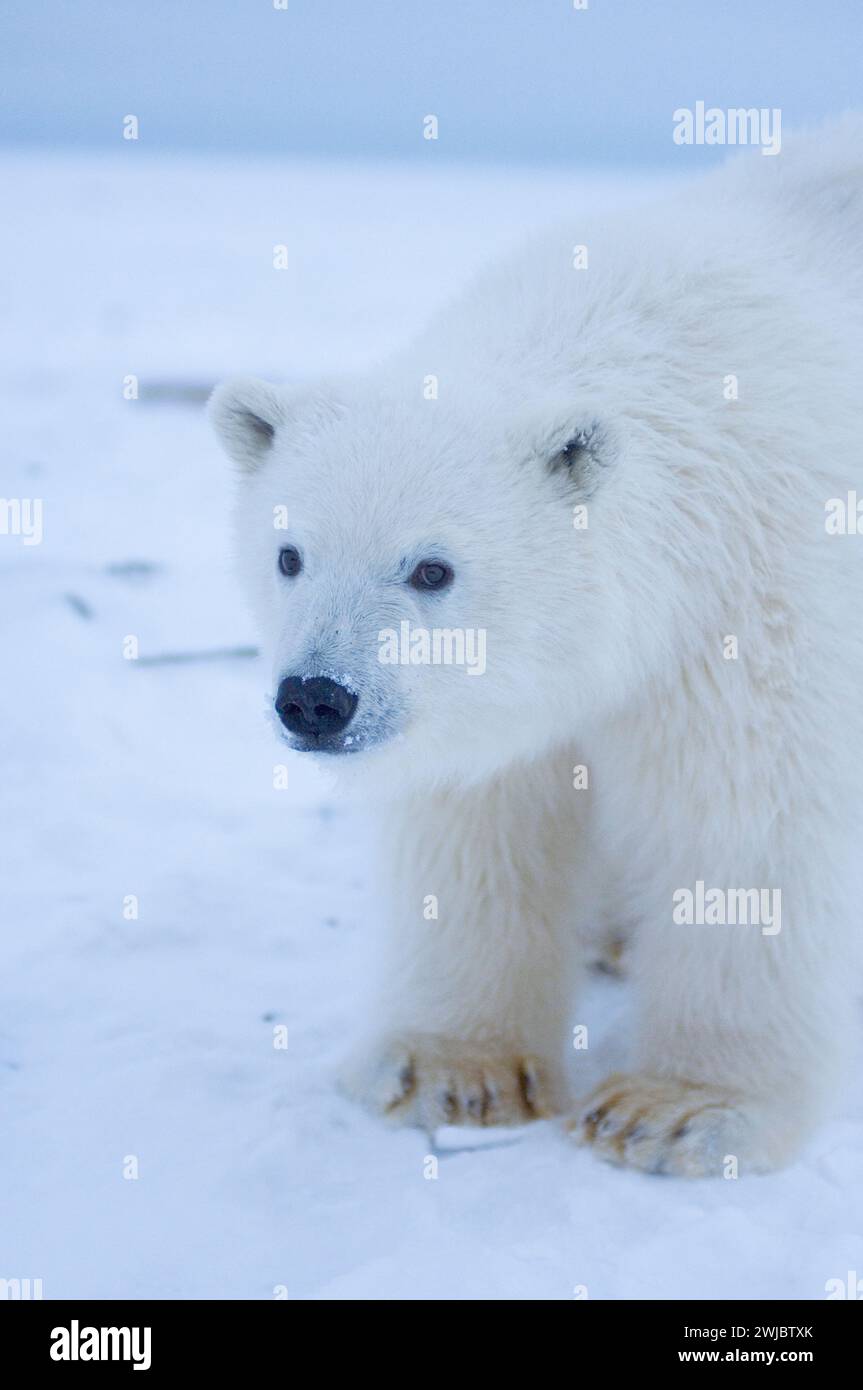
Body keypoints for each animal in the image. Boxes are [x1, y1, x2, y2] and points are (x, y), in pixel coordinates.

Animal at [209, 118, 863, 1176]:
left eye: (432, 568)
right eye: (289, 553)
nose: (316, 697)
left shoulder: (756, 602)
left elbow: (744, 826)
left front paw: (673, 1111)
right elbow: (480, 827)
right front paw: (454, 1072)